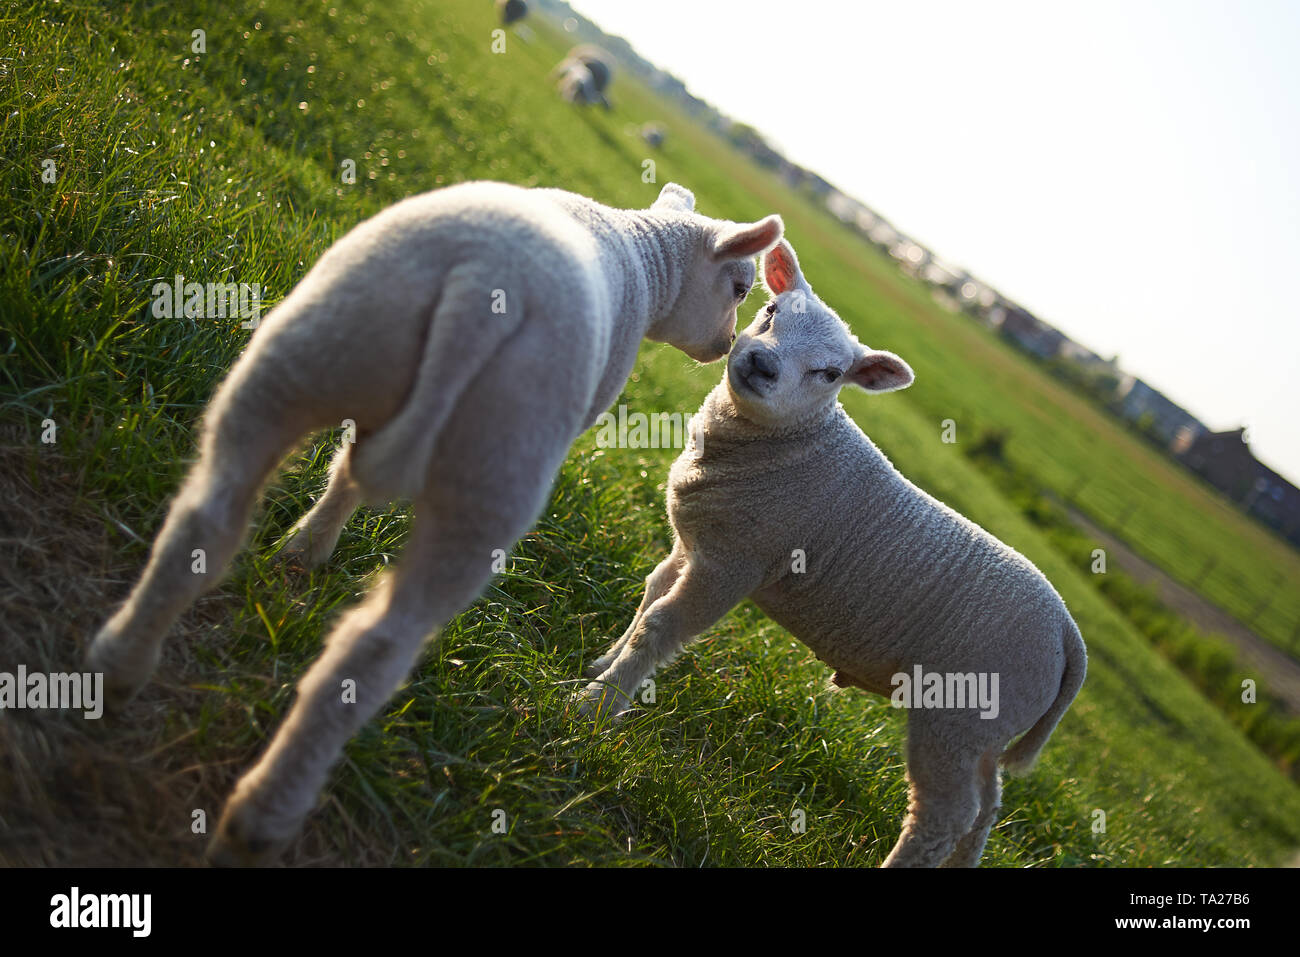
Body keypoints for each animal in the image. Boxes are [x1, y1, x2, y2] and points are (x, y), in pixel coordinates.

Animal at [86, 180, 785, 865]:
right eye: (741, 289)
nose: (725, 348)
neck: (645, 257)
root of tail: (479, 287)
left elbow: (344, 472)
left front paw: (306, 548)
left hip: (311, 349)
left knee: (206, 522)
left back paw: (117, 668)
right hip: (498, 462)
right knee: (377, 644)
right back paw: (262, 817)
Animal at [580, 239, 1088, 868]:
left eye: (830, 373)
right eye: (770, 310)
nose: (762, 364)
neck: (795, 445)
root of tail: (1068, 634)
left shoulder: (734, 564)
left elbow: (662, 625)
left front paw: (597, 706)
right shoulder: (697, 541)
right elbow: (651, 593)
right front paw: (604, 664)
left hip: (957, 718)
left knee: (944, 816)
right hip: (987, 731)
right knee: (986, 809)